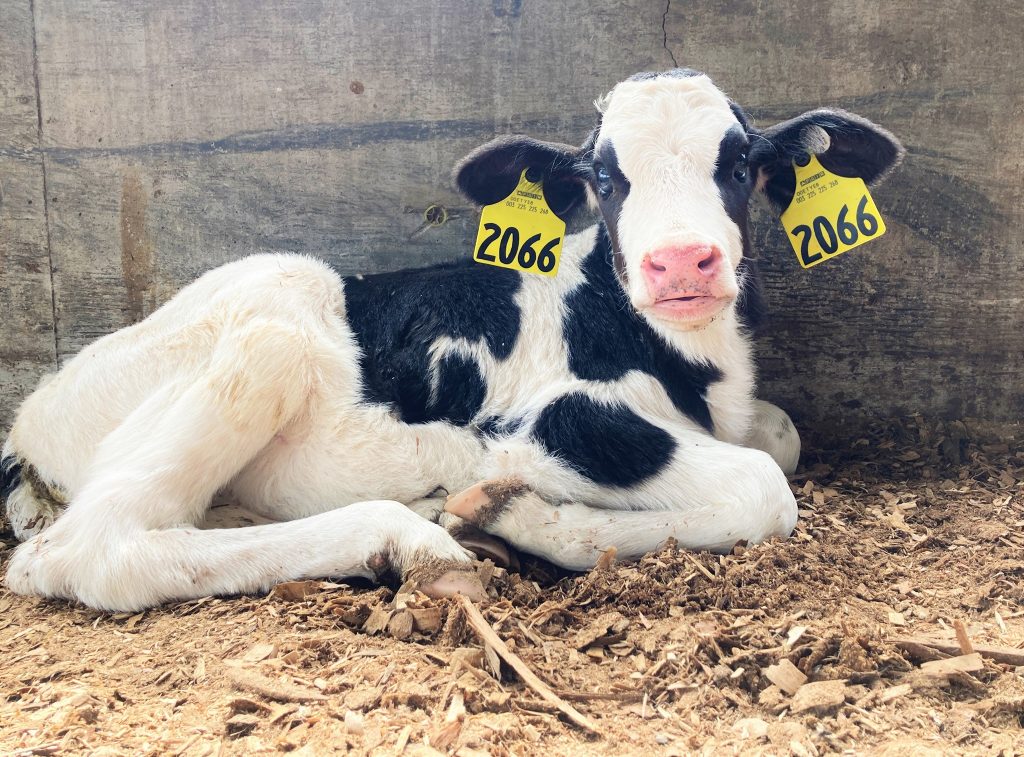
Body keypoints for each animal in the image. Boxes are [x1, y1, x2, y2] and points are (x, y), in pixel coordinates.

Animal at [1, 69, 903, 611]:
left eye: (741, 164)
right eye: (603, 179)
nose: (680, 259)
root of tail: (32, 422)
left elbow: (781, 437)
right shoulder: (546, 421)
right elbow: (763, 487)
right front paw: (528, 517)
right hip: (270, 329)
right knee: (91, 550)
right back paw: (409, 533)